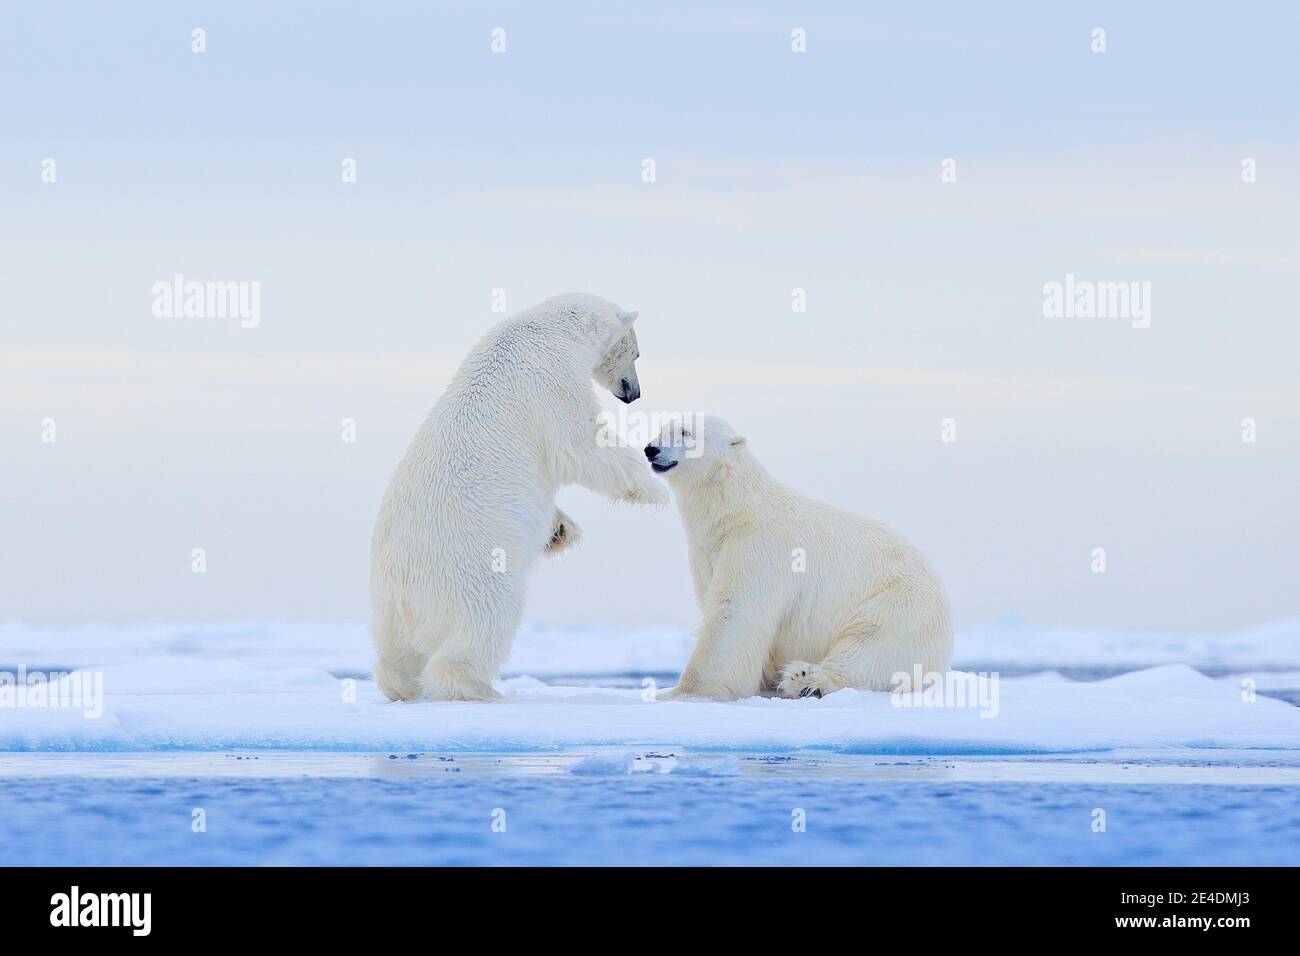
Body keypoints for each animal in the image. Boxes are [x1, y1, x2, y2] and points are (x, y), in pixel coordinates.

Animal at [370, 293, 668, 701]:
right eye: (637, 354)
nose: (634, 393)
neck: (554, 330)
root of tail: (404, 591)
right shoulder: (550, 379)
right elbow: (581, 442)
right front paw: (655, 489)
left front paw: (561, 531)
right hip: (473, 568)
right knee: (487, 619)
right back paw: (482, 688)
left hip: (386, 607)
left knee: (395, 653)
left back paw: (403, 685)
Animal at [644, 414, 953, 701]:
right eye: (663, 429)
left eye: (686, 433)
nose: (651, 449)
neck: (737, 511)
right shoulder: (706, 554)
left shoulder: (759, 548)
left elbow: (733, 612)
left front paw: (680, 692)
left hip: (899, 605)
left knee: (870, 646)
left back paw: (806, 680)